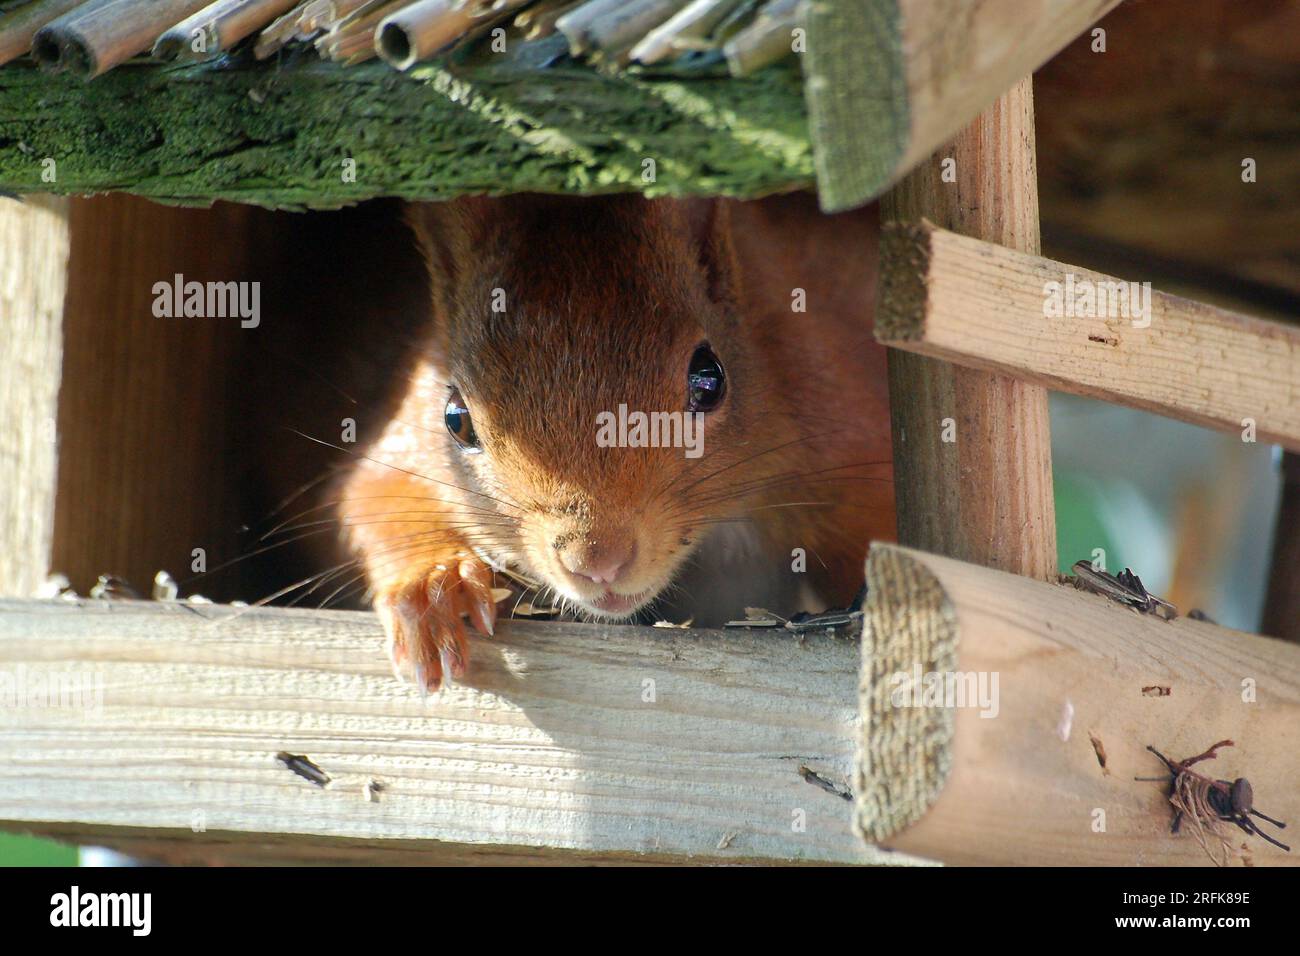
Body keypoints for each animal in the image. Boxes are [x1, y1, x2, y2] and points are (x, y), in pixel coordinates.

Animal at [336, 193, 894, 690]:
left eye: (709, 379)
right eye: (455, 419)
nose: (596, 561)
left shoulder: (832, 404)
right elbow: (375, 490)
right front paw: (433, 588)